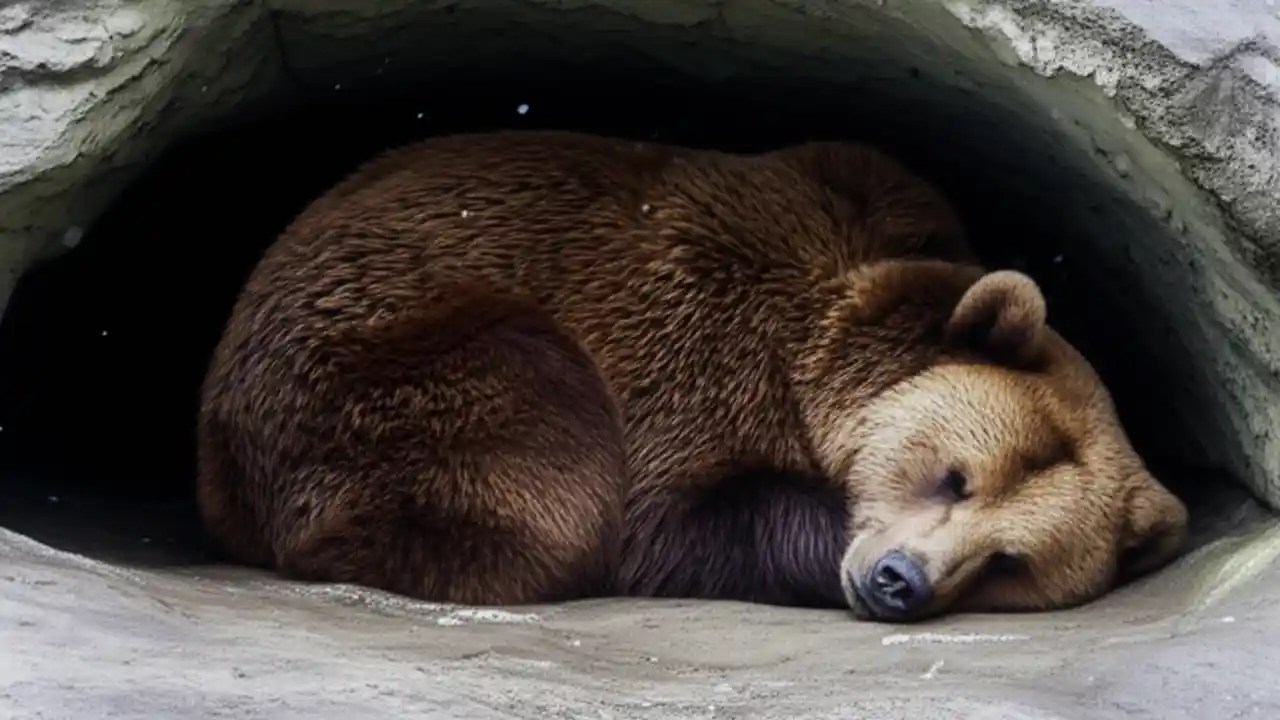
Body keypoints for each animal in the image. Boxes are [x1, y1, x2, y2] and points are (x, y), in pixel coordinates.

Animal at [196, 130, 1189, 622]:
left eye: (1008, 562)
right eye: (953, 475)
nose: (895, 581)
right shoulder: (694, 349)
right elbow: (667, 521)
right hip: (381, 355)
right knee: (541, 471)